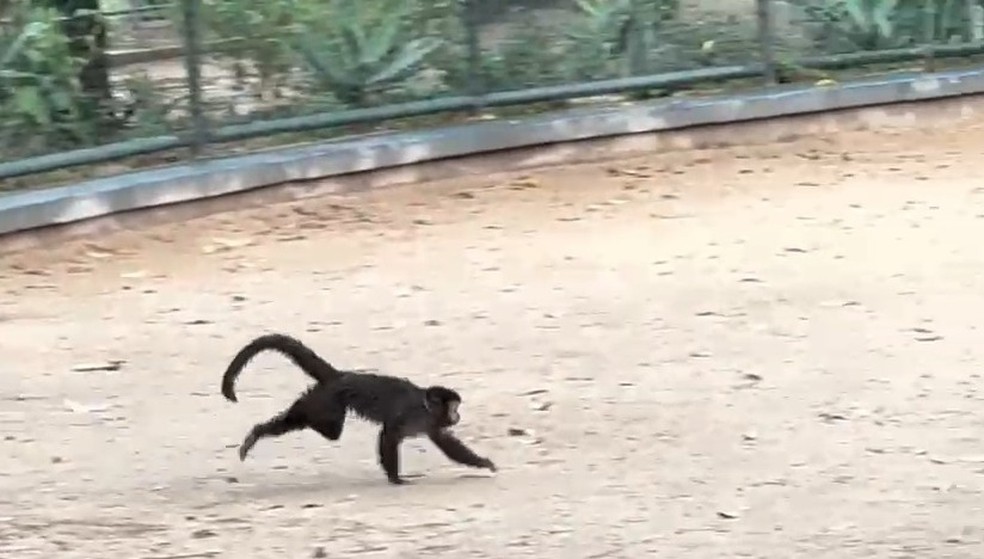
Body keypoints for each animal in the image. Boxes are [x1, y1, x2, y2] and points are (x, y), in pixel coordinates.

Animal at [220, 333, 497, 485]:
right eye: (454, 407)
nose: (457, 414)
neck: (425, 407)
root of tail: (339, 376)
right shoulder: (411, 414)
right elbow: (389, 435)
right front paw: (395, 479)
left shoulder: (431, 423)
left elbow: (448, 445)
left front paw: (484, 463)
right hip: (327, 402)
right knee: (328, 428)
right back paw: (259, 432)